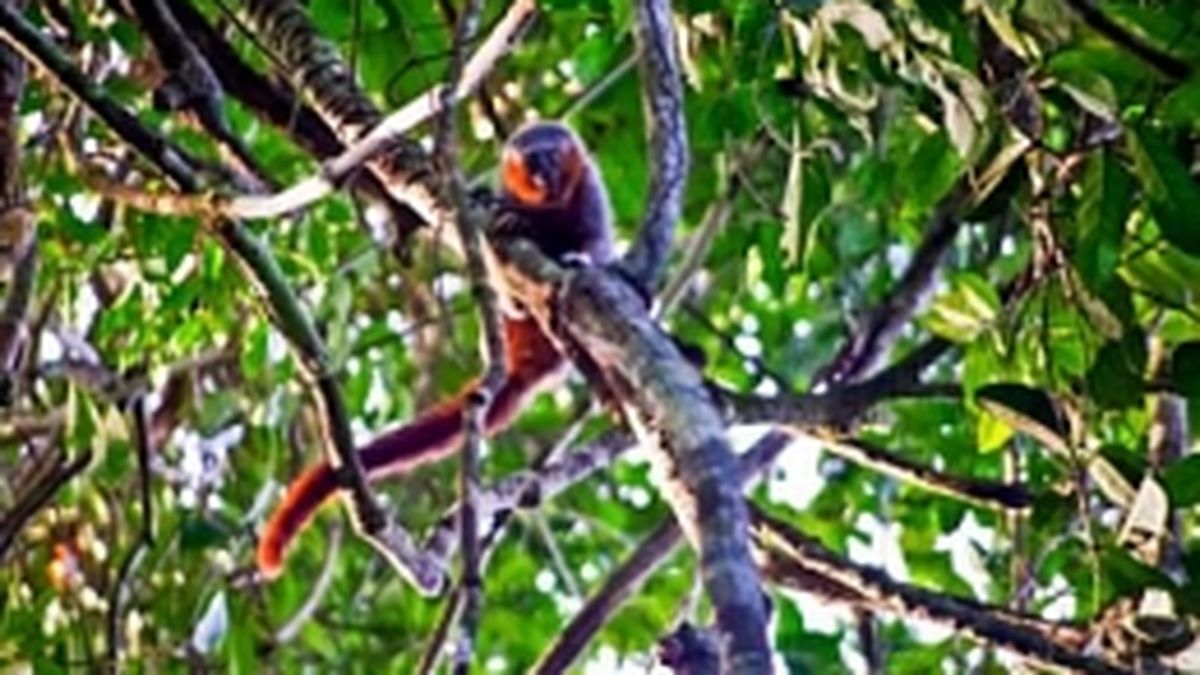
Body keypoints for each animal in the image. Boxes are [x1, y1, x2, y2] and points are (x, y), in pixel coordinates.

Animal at [256, 122, 616, 579]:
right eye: (531, 162)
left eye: (553, 157)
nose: (542, 176)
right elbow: (495, 217)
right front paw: (504, 211)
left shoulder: (590, 188)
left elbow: (594, 238)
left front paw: (567, 247)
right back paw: (512, 297)